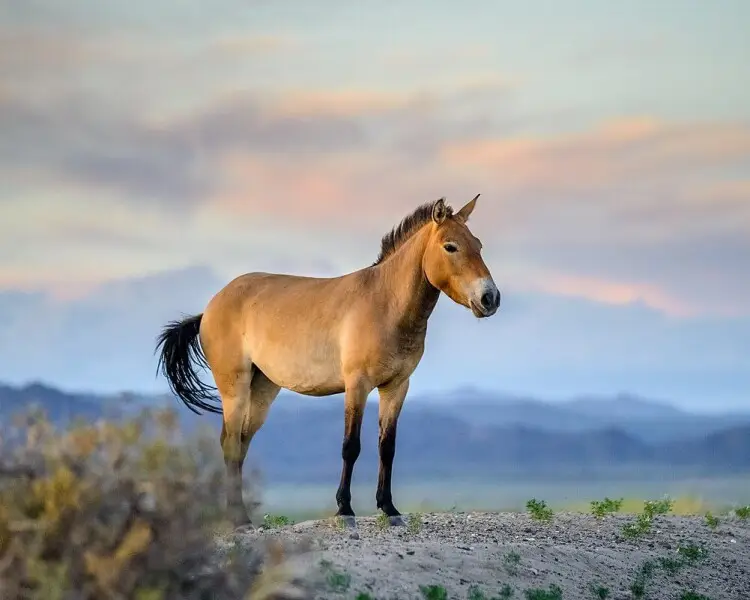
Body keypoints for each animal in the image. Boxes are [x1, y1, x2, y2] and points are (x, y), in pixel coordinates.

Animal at [155, 195, 501, 528]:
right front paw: (344, 510)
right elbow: (351, 445)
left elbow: (386, 447)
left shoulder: (396, 386)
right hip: (235, 387)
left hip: (263, 388)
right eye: (450, 246)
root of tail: (211, 306)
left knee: (240, 444)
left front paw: (389, 509)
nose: (490, 298)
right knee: (229, 443)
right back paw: (237, 520)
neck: (385, 303)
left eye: (479, 244)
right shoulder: (357, 385)